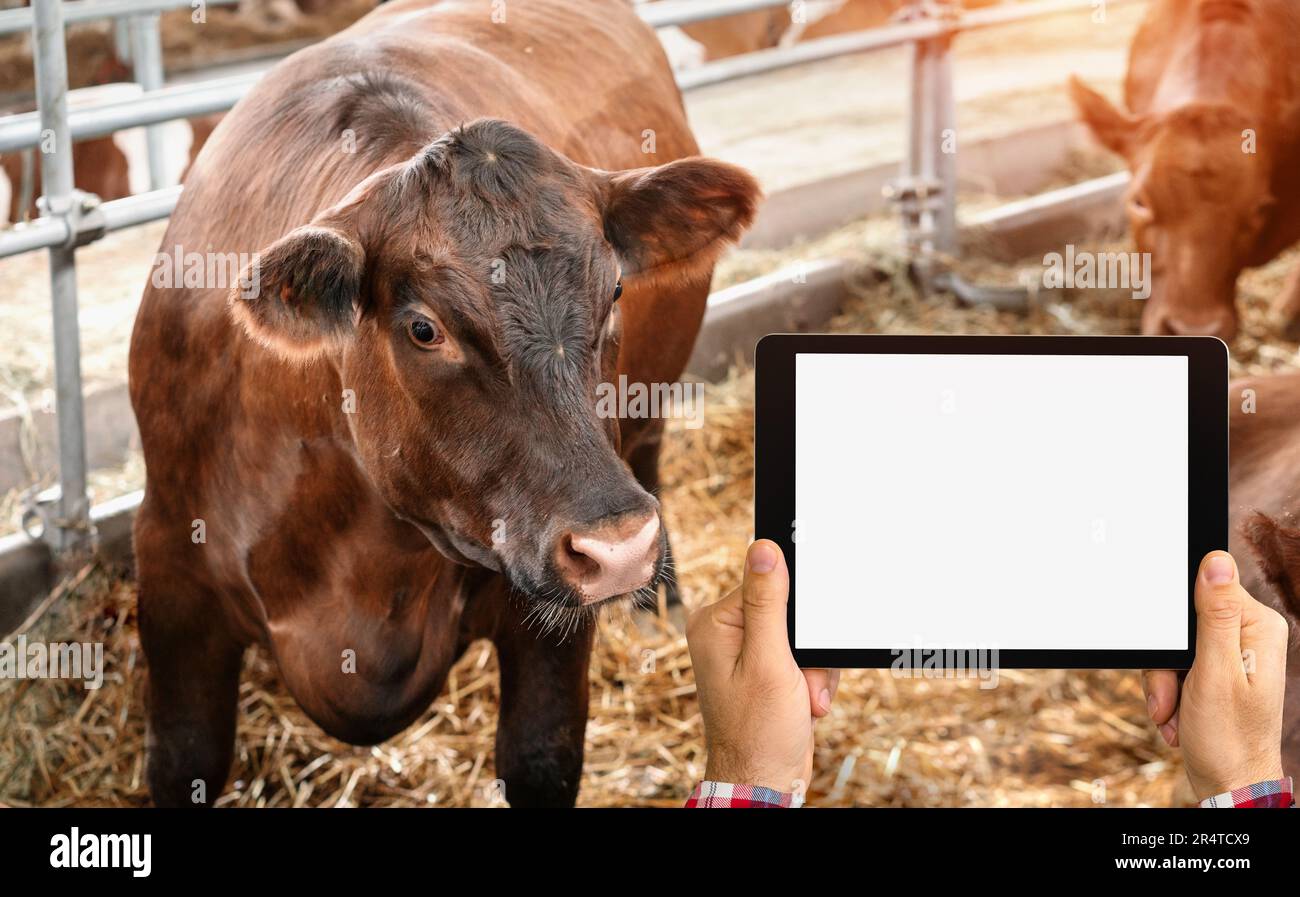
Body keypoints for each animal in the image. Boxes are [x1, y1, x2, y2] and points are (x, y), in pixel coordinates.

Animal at [128, 0, 760, 807]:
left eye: (615, 289)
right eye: (424, 328)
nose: (617, 547)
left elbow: (541, 756)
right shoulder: (173, 577)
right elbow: (185, 759)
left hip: (646, 418)